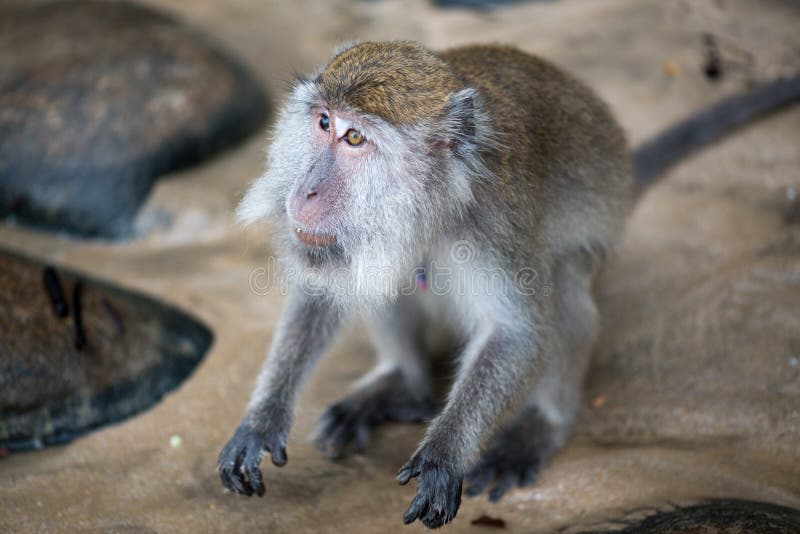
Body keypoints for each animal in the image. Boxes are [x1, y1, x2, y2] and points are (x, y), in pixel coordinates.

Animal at [218, 41, 800, 528]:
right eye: (322, 122)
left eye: (354, 137)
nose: (306, 192)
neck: (433, 201)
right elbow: (325, 286)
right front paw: (263, 418)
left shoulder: (497, 223)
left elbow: (518, 333)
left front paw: (446, 452)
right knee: (383, 273)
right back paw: (402, 382)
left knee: (562, 284)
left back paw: (542, 425)